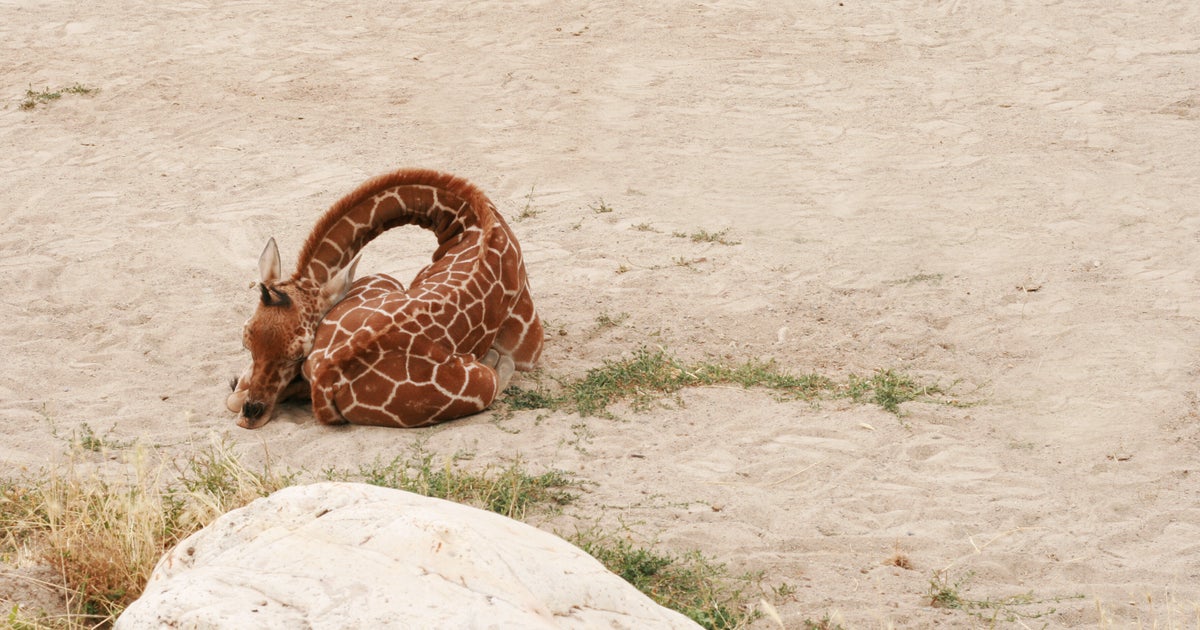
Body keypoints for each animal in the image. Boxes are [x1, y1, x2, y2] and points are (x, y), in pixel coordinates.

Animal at [226, 168, 544, 429]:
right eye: (246, 341)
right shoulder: (528, 346)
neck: (472, 222)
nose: (251, 414)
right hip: (476, 383)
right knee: (497, 374)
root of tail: (330, 375)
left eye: (298, 353)